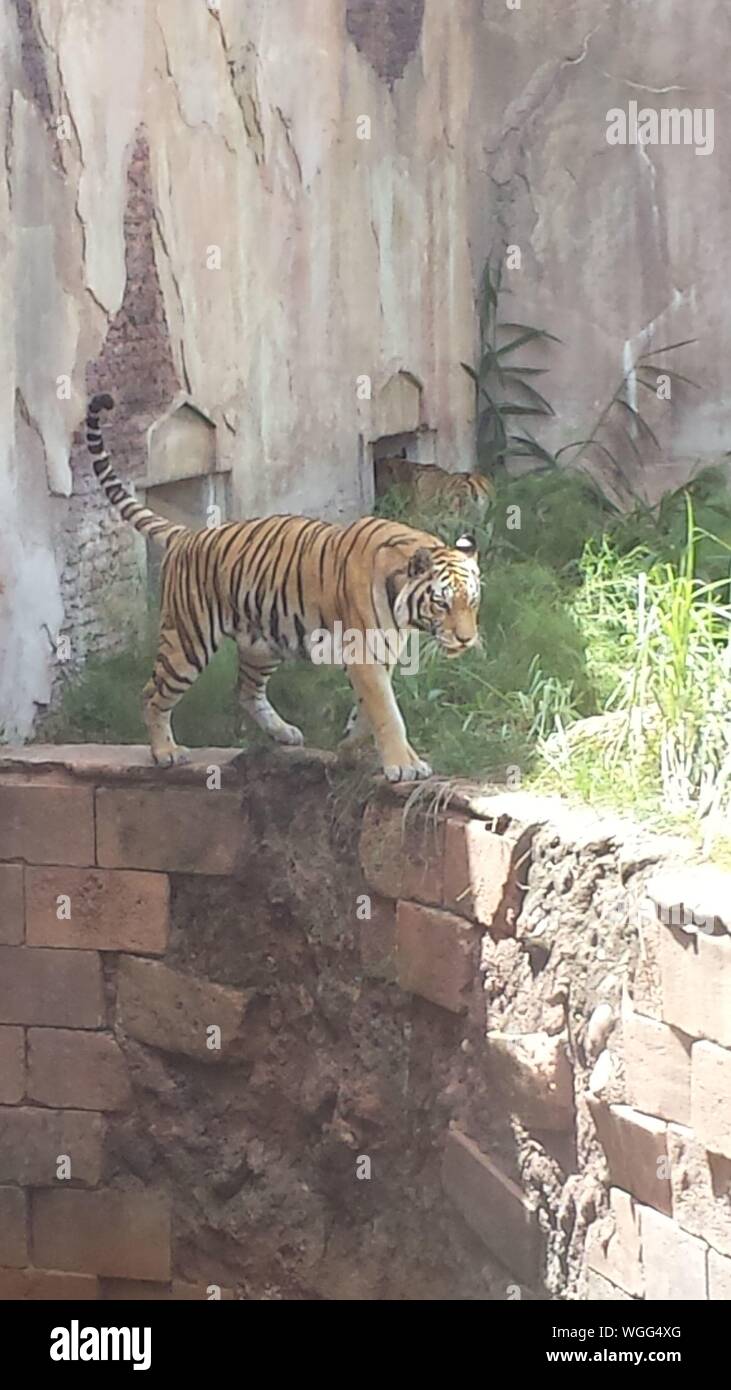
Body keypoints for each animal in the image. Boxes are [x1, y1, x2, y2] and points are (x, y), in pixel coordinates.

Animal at [85, 394, 481, 782]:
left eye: (473, 602)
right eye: (442, 604)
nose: (466, 639)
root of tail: (187, 535)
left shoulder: (379, 655)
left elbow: (367, 711)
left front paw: (349, 747)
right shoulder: (365, 654)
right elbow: (387, 712)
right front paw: (403, 764)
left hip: (263, 641)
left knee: (245, 690)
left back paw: (284, 733)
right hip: (188, 641)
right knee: (152, 694)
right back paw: (165, 752)